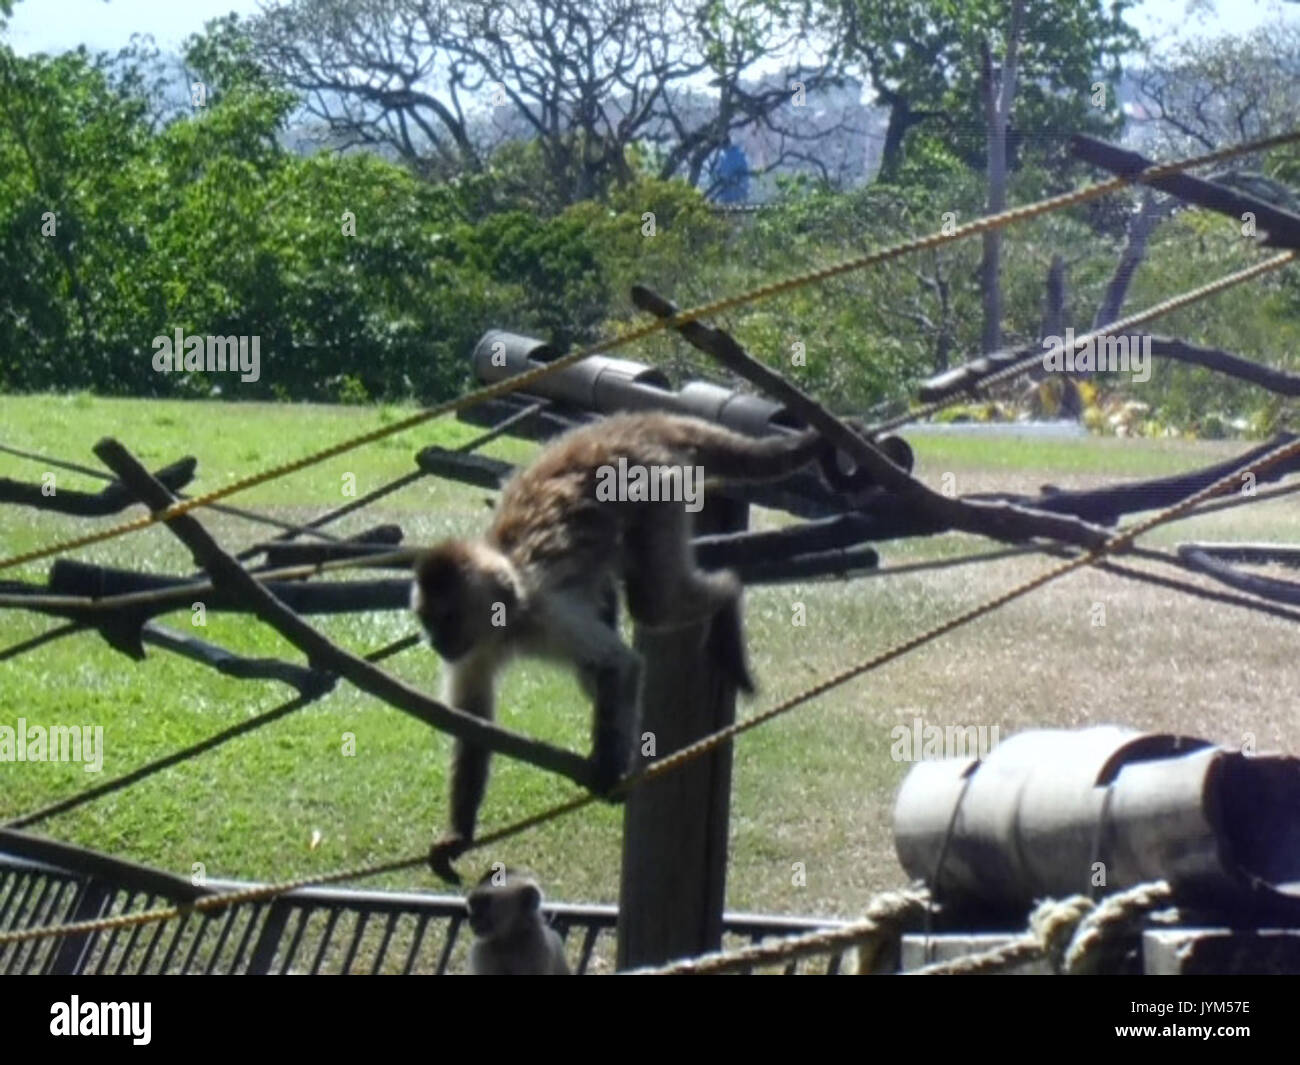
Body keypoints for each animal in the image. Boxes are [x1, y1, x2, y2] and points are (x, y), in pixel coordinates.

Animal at [412, 411, 838, 878]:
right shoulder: (476, 650)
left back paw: (729, 594)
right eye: (428, 621)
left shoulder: (547, 613)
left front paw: (608, 772)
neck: (511, 620)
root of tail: (624, 427)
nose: (435, 642)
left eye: (447, 619)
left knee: (653, 603)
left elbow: (621, 666)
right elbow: (472, 724)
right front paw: (458, 834)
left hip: (656, 486)